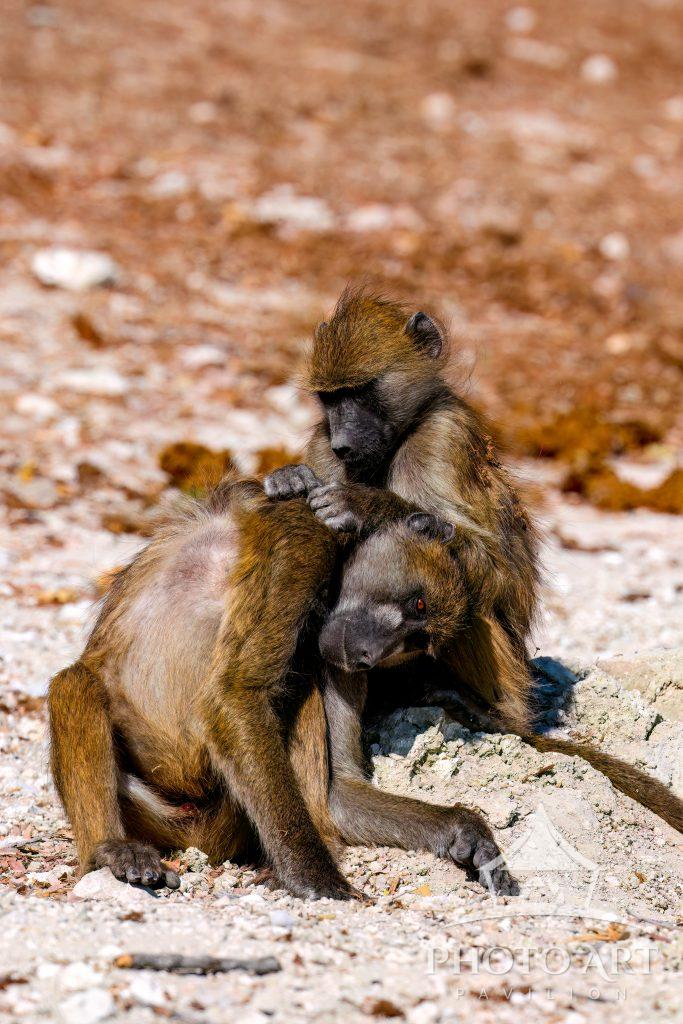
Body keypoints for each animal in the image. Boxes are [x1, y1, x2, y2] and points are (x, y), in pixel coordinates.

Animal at [48, 478, 516, 898]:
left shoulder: (335, 651)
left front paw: (464, 832)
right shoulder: (305, 540)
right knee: (75, 683)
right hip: (159, 812)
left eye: (418, 642)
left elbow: (339, 794)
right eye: (417, 605)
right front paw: (314, 877)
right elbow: (236, 694)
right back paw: (111, 850)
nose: (369, 656)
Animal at [264, 287, 540, 732]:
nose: (343, 445)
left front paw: (362, 505)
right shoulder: (323, 442)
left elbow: (502, 574)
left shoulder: (443, 437)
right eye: (331, 397)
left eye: (361, 391)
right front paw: (289, 478)